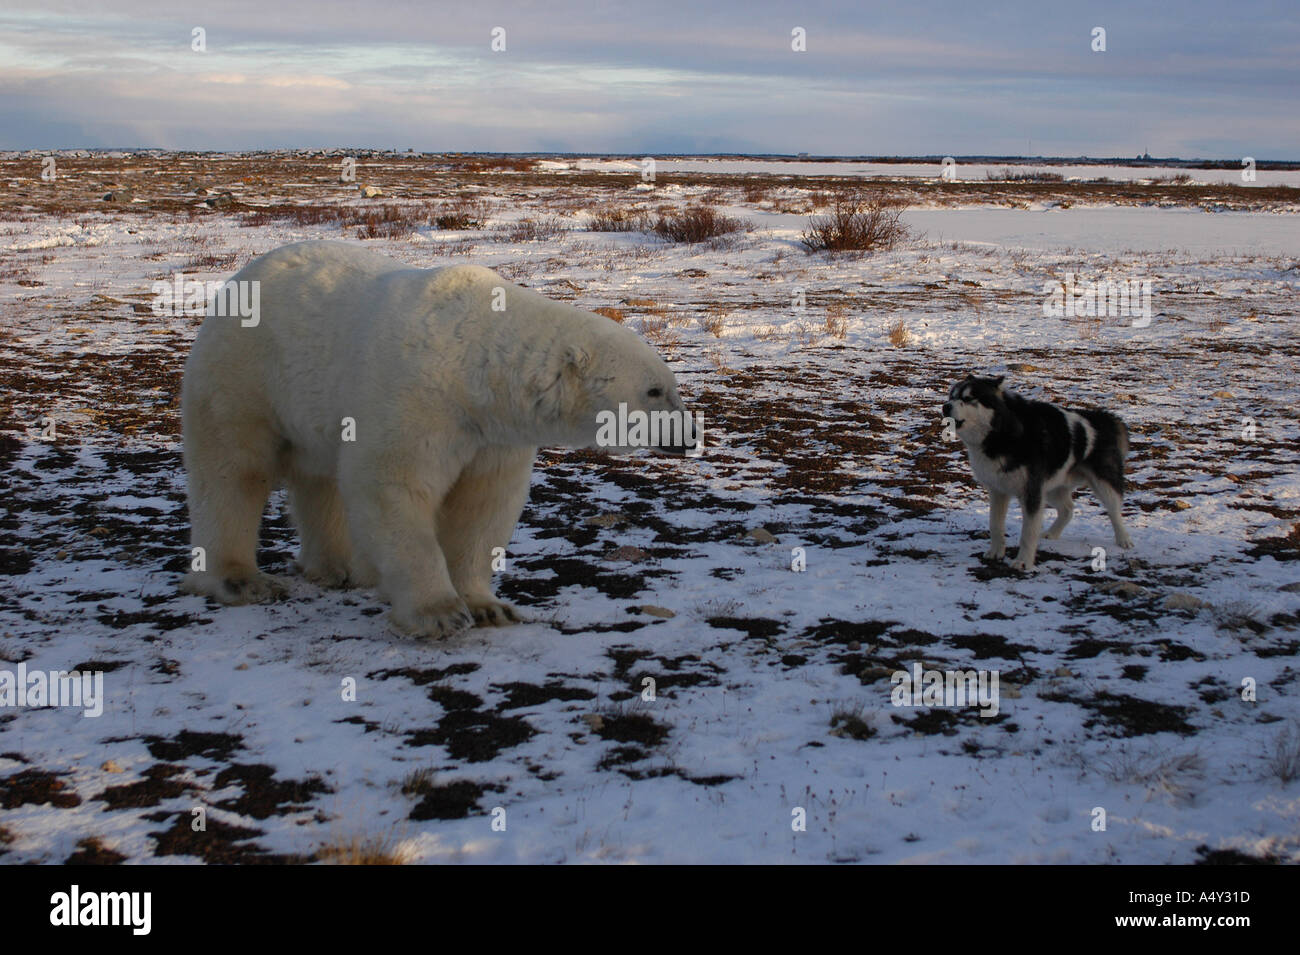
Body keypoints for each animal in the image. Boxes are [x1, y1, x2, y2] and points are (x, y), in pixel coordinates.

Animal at [180, 240, 693, 638]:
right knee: (232, 470)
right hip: (245, 372)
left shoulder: (492, 436)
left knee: (318, 478)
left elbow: (480, 506)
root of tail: (242, 276)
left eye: (670, 384)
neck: (475, 367)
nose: (689, 434)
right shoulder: (417, 400)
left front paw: (488, 607)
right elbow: (394, 488)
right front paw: (440, 613)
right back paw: (240, 579)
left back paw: (338, 567)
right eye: (655, 390)